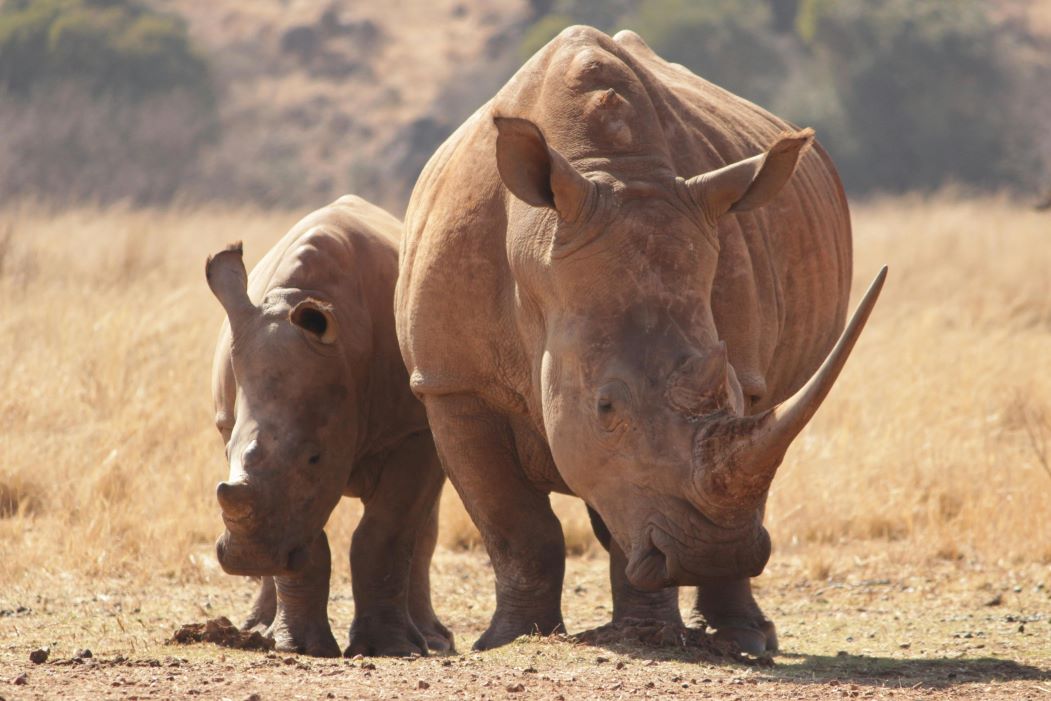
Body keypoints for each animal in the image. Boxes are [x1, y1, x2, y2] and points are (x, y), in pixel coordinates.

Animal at [206, 195, 453, 657]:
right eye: (226, 450)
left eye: (315, 458)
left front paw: (389, 649)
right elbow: (306, 534)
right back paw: (259, 630)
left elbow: (386, 531)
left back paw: (432, 641)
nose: (248, 559)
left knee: (422, 523)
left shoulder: (413, 430)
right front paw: (299, 648)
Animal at [395, 26, 886, 654]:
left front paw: (648, 634)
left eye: (733, 392)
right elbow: (514, 524)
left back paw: (746, 640)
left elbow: (628, 505)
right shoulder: (452, 383)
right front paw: (509, 640)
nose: (712, 555)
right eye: (606, 406)